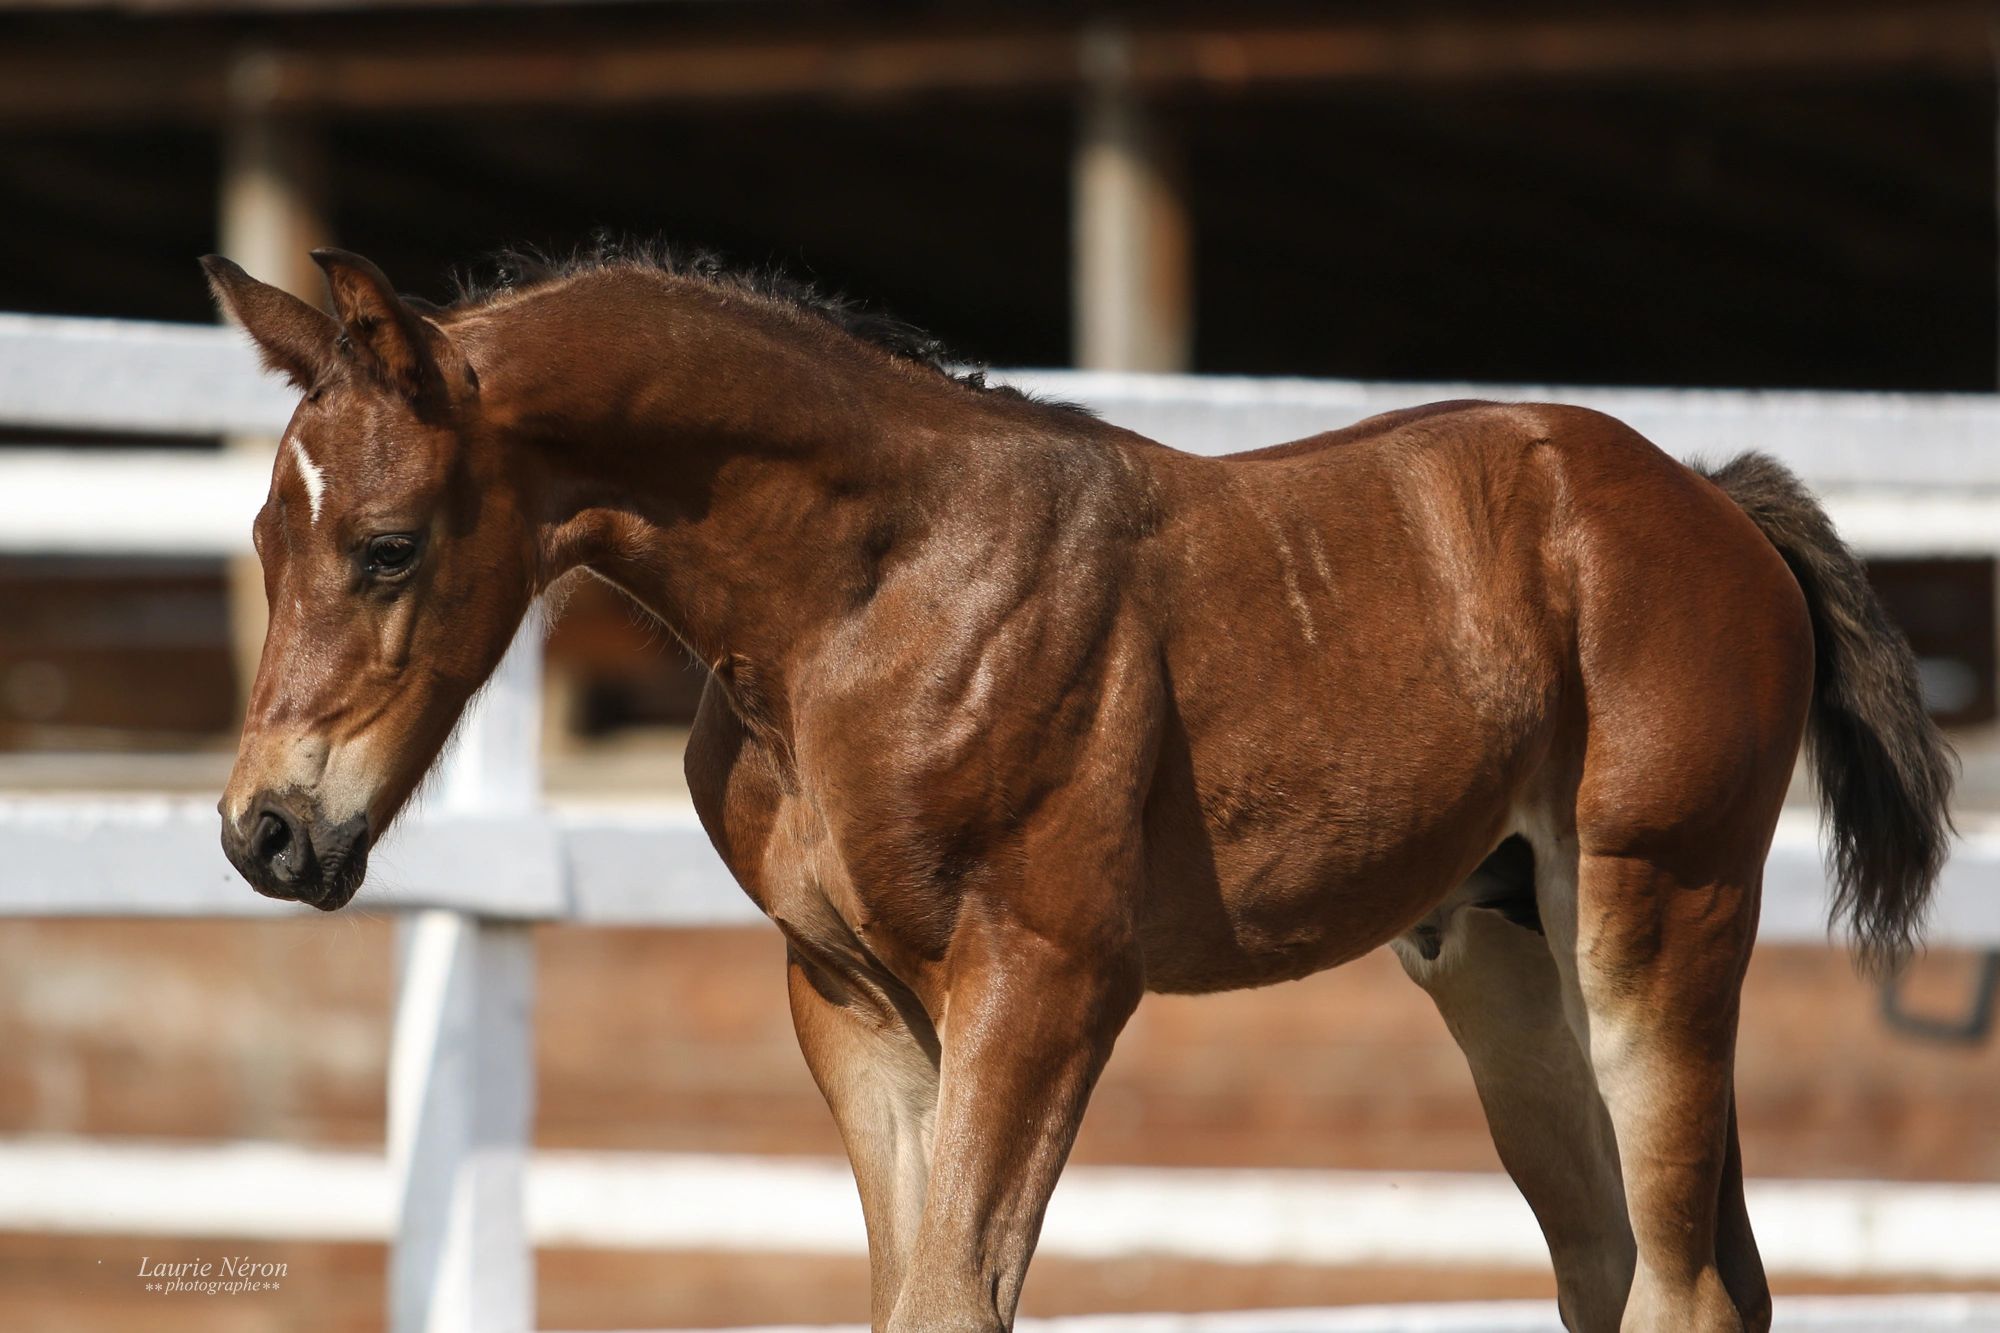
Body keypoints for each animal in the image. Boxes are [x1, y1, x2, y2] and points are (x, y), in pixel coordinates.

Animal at [205, 242, 1953, 1333]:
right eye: (265, 540)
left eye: (388, 546)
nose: (264, 831)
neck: (866, 594)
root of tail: (1708, 499)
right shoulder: (852, 1003)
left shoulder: (1046, 980)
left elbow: (955, 1298)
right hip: (1507, 963)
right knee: (1628, 1265)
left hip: (1657, 917)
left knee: (1682, 1286)